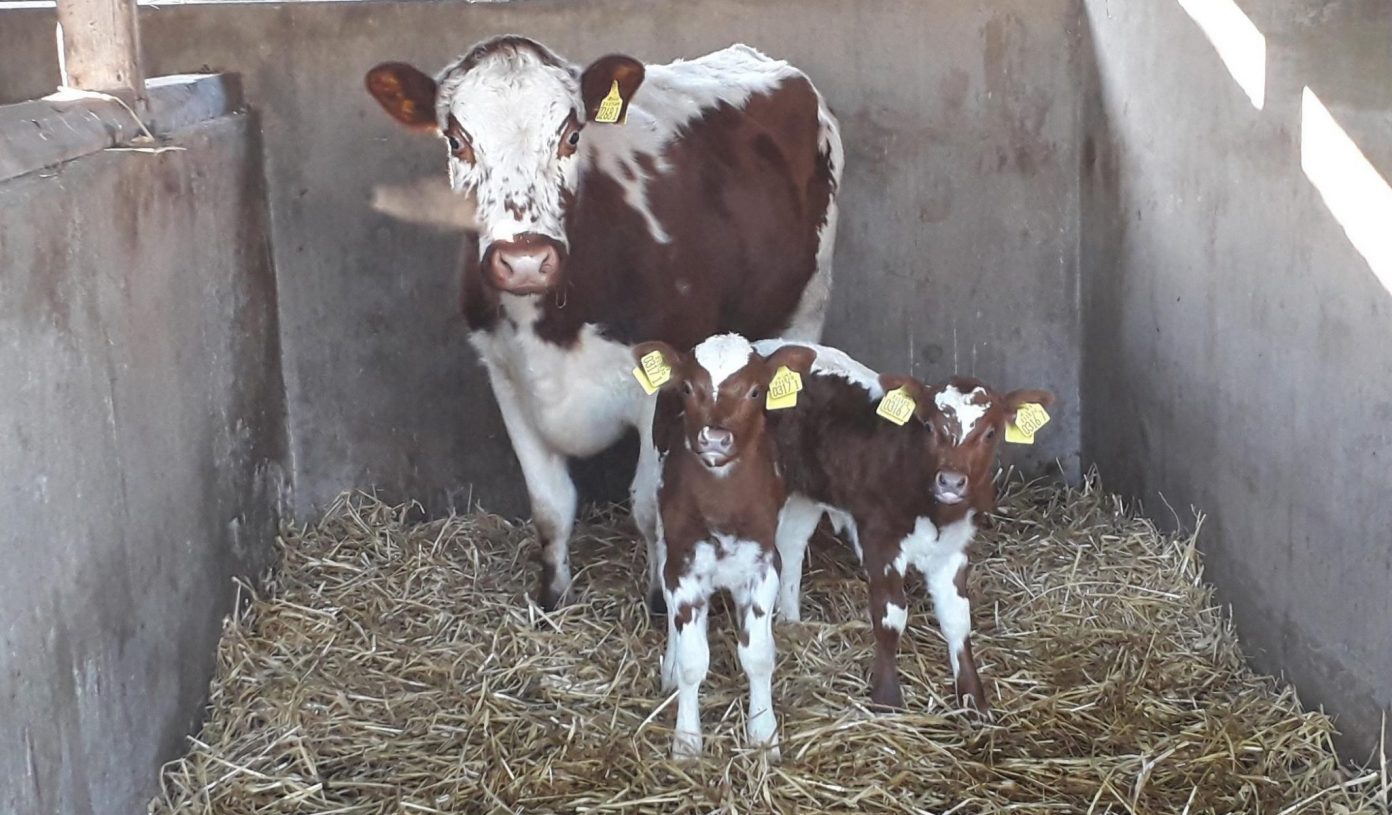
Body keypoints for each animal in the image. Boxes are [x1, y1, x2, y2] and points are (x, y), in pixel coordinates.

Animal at [365, 36, 843, 611]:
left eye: (570, 135)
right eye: (457, 140)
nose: (525, 259)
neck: (554, 329)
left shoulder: (664, 381)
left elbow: (649, 507)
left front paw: (661, 601)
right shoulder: (504, 374)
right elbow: (549, 504)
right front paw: (551, 598)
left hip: (807, 306)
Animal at [633, 334, 817, 759]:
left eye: (755, 391)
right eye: (687, 388)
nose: (715, 438)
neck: (722, 507)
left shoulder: (762, 565)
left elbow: (758, 656)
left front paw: (764, 736)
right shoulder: (683, 566)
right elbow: (692, 660)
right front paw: (686, 743)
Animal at [751, 339, 1054, 711]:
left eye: (990, 432)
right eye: (929, 426)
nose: (950, 481)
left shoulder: (953, 549)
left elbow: (958, 618)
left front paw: (973, 699)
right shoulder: (880, 541)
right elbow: (890, 617)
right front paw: (887, 699)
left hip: (806, 493)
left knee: (792, 546)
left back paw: (791, 619)